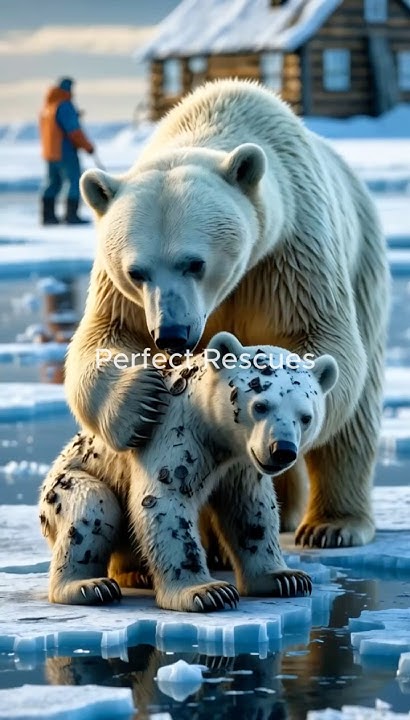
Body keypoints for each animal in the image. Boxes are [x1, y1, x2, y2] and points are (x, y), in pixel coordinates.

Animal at [39, 332, 338, 611]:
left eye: (306, 417)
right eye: (260, 405)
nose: (282, 450)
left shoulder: (240, 461)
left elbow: (251, 509)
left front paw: (286, 578)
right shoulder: (176, 433)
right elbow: (164, 502)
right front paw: (208, 592)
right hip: (68, 482)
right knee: (93, 508)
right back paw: (90, 586)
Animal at [66, 78, 389, 549]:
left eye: (195, 263)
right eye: (136, 271)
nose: (173, 335)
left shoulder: (289, 255)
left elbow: (317, 337)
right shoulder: (122, 292)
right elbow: (104, 338)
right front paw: (141, 404)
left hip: (363, 261)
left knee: (356, 415)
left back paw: (332, 524)